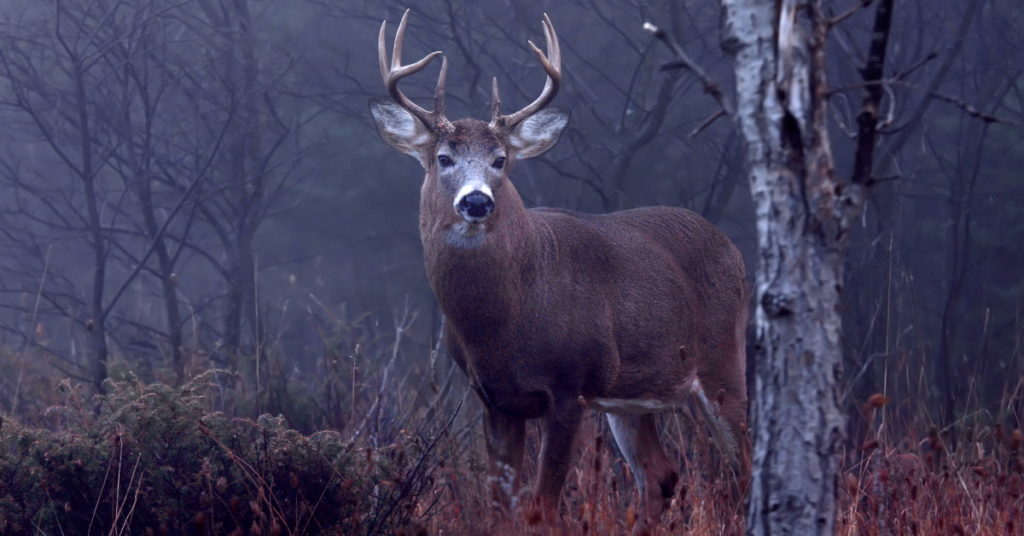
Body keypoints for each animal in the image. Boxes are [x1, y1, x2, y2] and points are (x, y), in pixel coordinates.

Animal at [368, 9, 750, 525]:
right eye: (443, 158)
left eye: (501, 160)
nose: (476, 201)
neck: (504, 323)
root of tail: (731, 247)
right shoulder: (494, 400)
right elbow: (500, 511)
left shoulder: (571, 387)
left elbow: (541, 508)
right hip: (631, 397)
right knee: (662, 475)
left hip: (722, 358)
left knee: (744, 467)